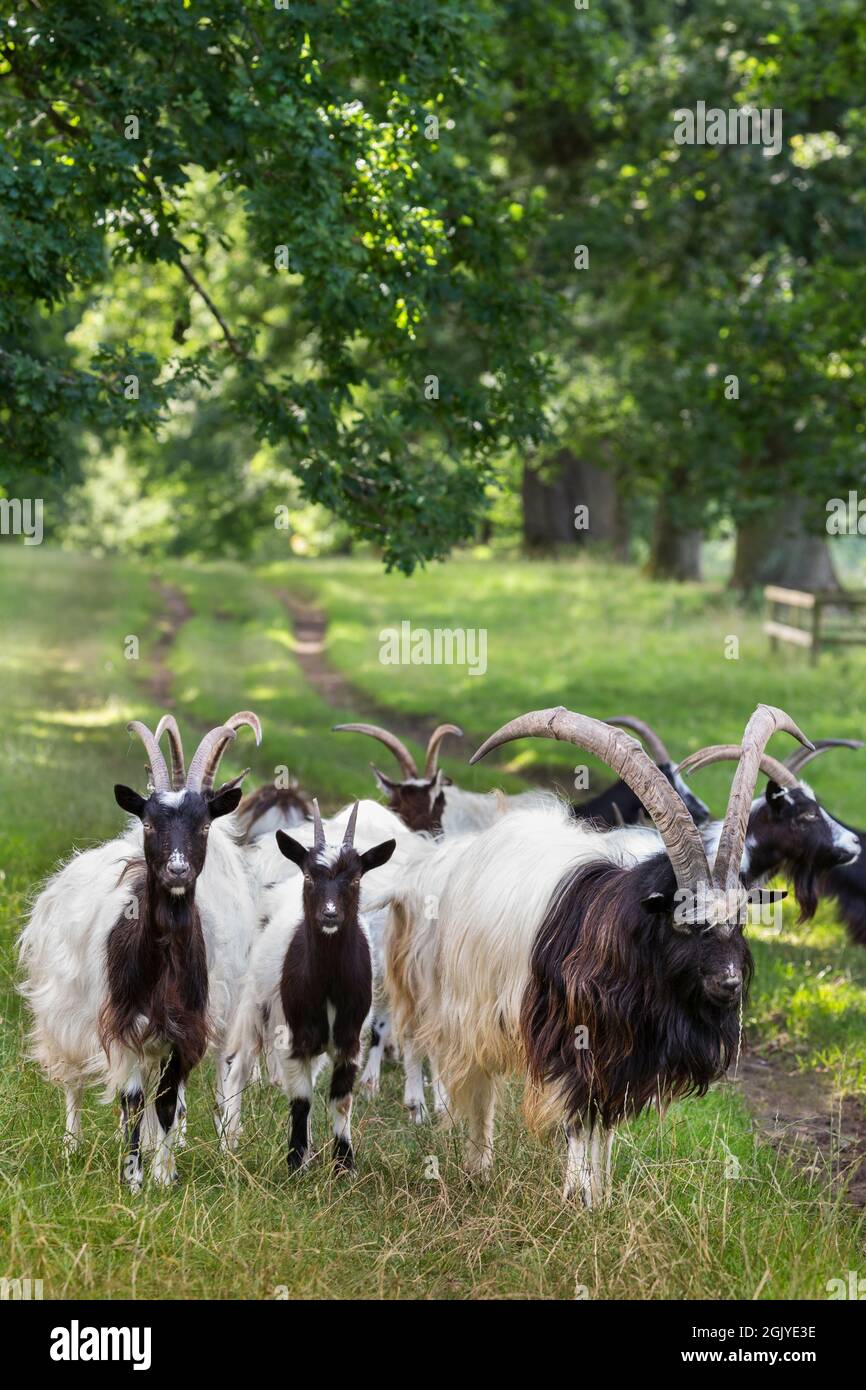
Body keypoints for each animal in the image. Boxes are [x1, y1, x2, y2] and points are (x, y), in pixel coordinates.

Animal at [18, 712, 261, 1188]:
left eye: (203, 824)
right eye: (149, 824)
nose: (177, 870)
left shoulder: (187, 1029)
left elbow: (166, 1101)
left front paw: (164, 1175)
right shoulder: (121, 1022)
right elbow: (131, 1099)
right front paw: (133, 1180)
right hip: (64, 1013)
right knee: (72, 1080)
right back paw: (71, 1146)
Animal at [226, 802, 395, 1172]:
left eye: (356, 879)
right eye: (309, 877)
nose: (329, 915)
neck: (328, 986)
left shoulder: (349, 1041)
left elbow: (341, 1101)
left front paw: (344, 1164)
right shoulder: (295, 1037)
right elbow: (301, 1101)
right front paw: (296, 1162)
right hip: (252, 1004)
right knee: (238, 1067)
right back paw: (228, 1142)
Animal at [375, 704, 807, 1206]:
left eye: (739, 920)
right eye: (684, 920)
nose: (730, 982)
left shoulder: (626, 1053)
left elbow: (606, 1124)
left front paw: (601, 1196)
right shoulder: (572, 1037)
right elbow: (579, 1119)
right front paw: (576, 1198)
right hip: (460, 1003)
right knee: (473, 1084)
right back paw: (476, 1164)